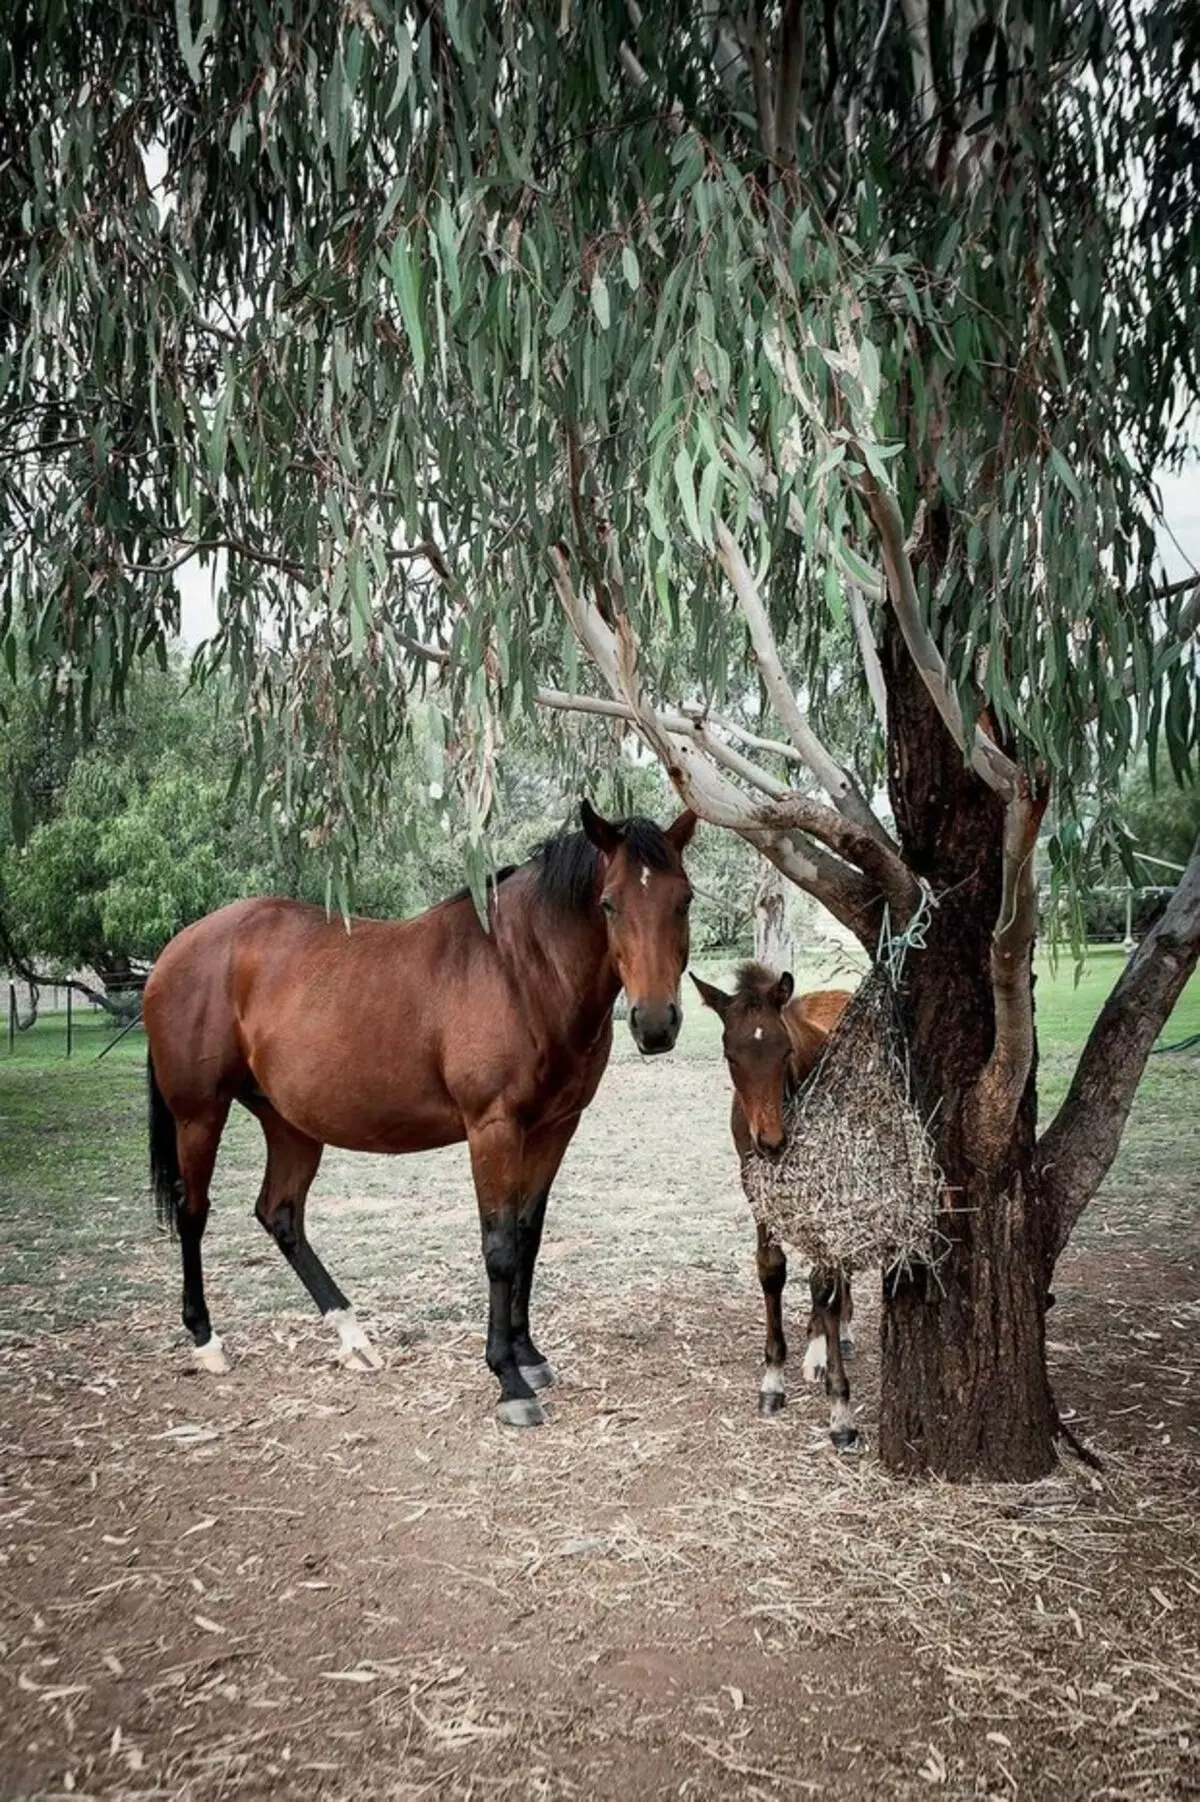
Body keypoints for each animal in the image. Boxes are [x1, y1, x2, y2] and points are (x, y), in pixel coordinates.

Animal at [144, 803, 695, 1419]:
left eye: (684, 899)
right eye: (608, 903)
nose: (656, 1023)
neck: (519, 972)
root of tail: (176, 950)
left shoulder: (554, 1128)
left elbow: (528, 1235)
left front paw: (528, 1354)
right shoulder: (493, 1128)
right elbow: (500, 1247)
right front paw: (508, 1379)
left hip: (290, 1124)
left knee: (280, 1214)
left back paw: (353, 1337)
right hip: (199, 1115)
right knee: (193, 1213)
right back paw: (207, 1340)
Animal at [688, 958, 854, 1448]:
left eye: (784, 1050)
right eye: (731, 1056)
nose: (772, 1142)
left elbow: (824, 1284)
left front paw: (840, 1409)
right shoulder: (756, 1188)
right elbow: (771, 1271)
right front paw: (773, 1380)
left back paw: (834, 1339)